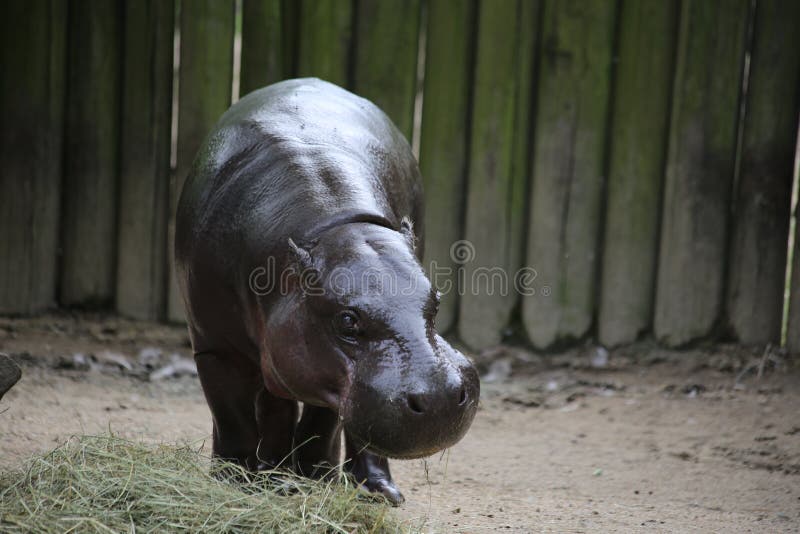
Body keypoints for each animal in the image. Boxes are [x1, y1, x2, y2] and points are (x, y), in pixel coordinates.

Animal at [175, 78, 479, 504]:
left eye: (435, 302)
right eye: (347, 319)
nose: (439, 399)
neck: (333, 227)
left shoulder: (325, 370)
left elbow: (324, 420)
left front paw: (315, 477)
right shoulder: (215, 346)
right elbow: (233, 419)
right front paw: (234, 482)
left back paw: (375, 489)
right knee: (272, 406)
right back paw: (271, 474)